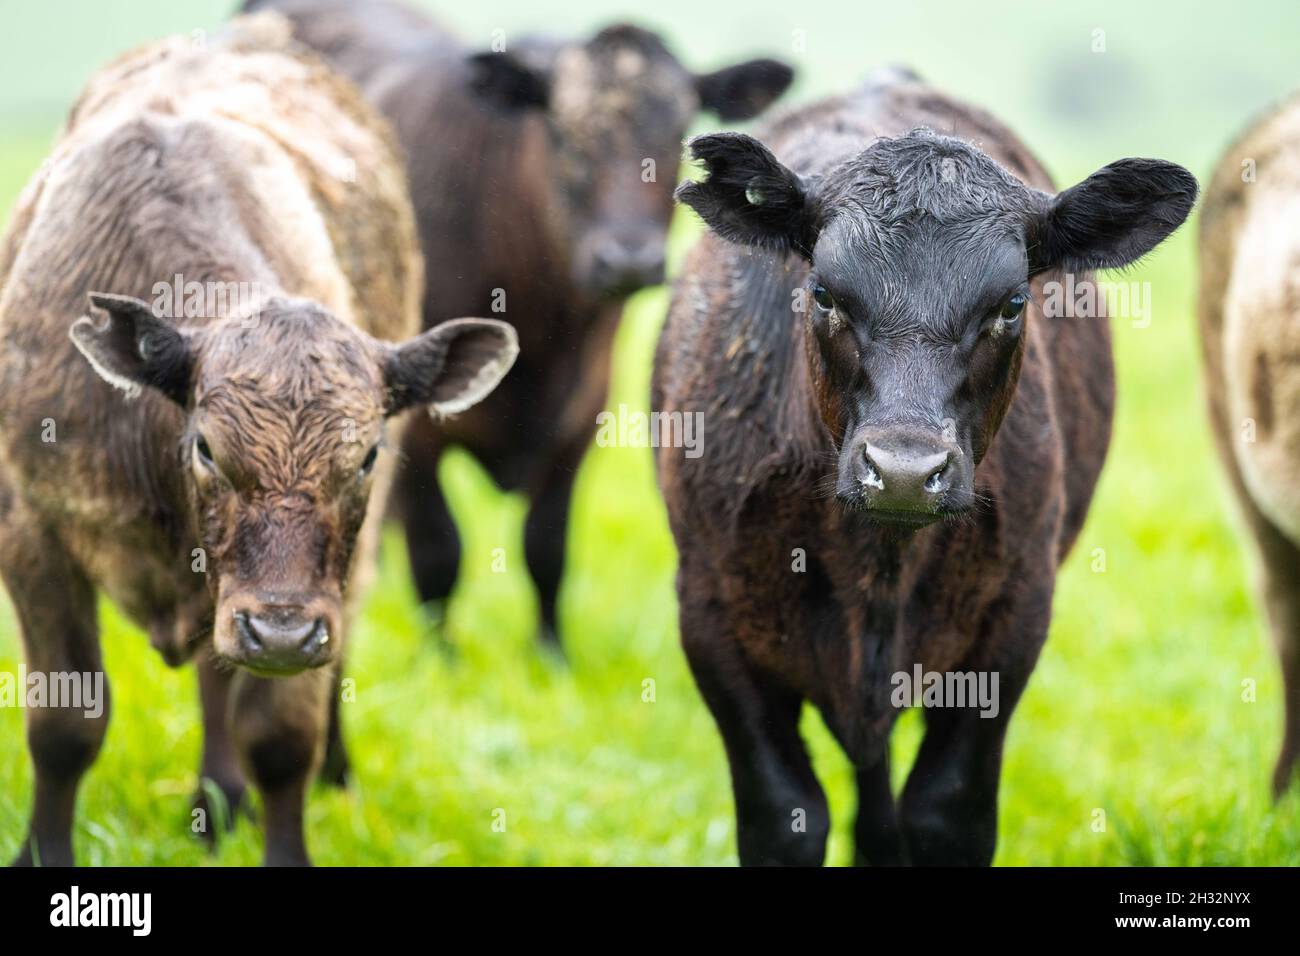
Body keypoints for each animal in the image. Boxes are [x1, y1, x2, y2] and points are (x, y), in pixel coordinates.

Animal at [0, 15, 517, 866]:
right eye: (207, 447)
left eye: (366, 455)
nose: (280, 630)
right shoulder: (33, 532)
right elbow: (66, 728)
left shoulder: (325, 586)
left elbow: (280, 737)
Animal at [246, 0, 794, 650]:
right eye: (565, 136)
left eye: (676, 136)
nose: (627, 259)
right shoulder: (418, 417)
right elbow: (438, 549)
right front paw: (440, 655)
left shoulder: (582, 413)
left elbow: (546, 547)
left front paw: (551, 654)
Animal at [653, 70, 1196, 865]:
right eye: (824, 293)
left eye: (1011, 303)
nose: (905, 470)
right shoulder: (711, 611)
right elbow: (786, 814)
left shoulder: (1013, 616)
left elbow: (945, 811)